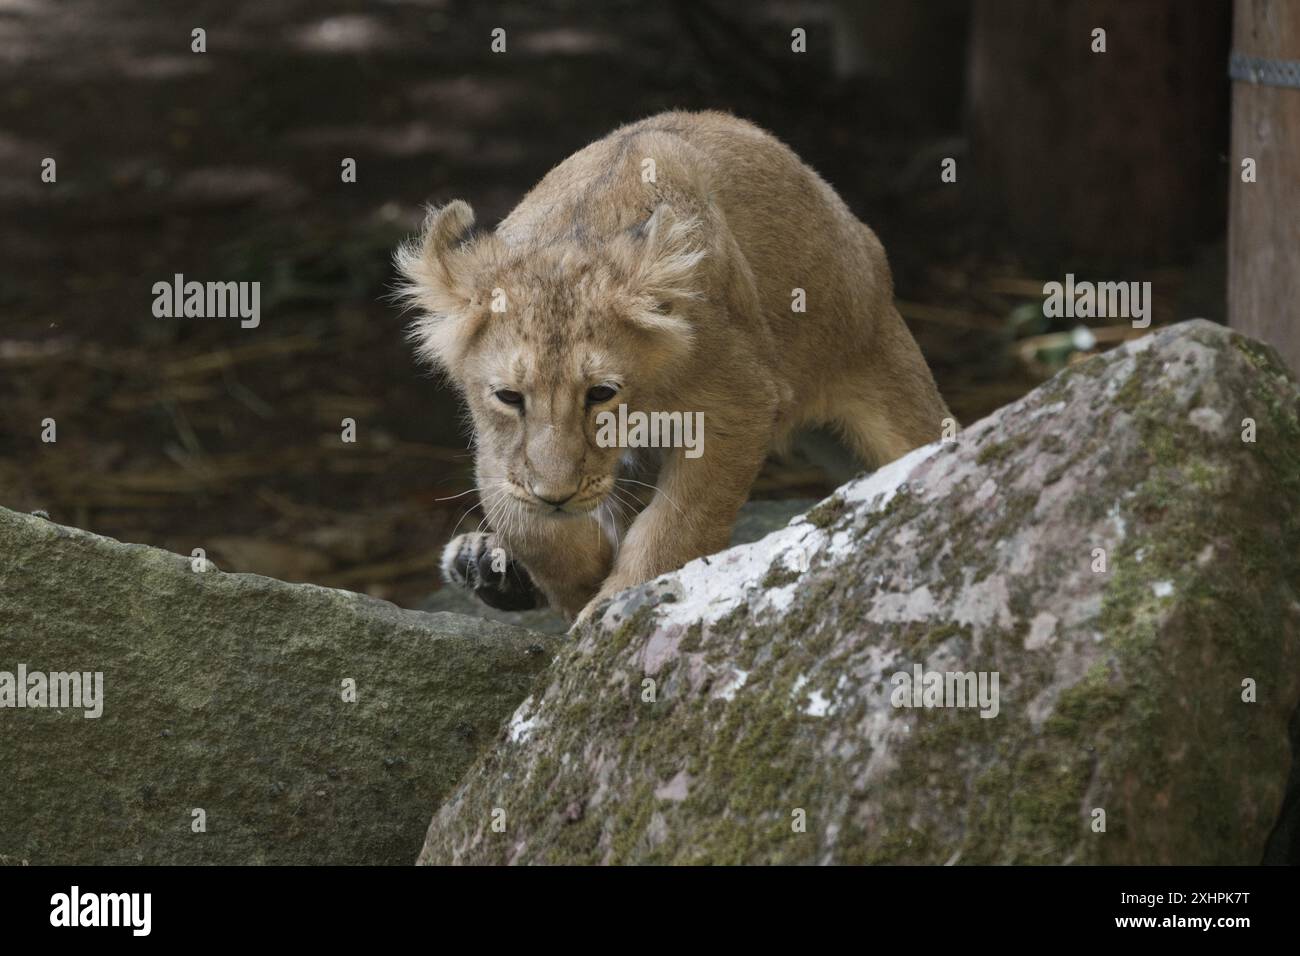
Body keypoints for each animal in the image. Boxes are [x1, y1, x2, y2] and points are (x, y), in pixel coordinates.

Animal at [396, 110, 951, 625]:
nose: (557, 496)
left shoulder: (739, 402)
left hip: (883, 369)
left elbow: (675, 528)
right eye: (510, 397)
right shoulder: (497, 442)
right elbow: (523, 518)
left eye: (601, 394)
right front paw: (571, 575)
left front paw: (612, 610)